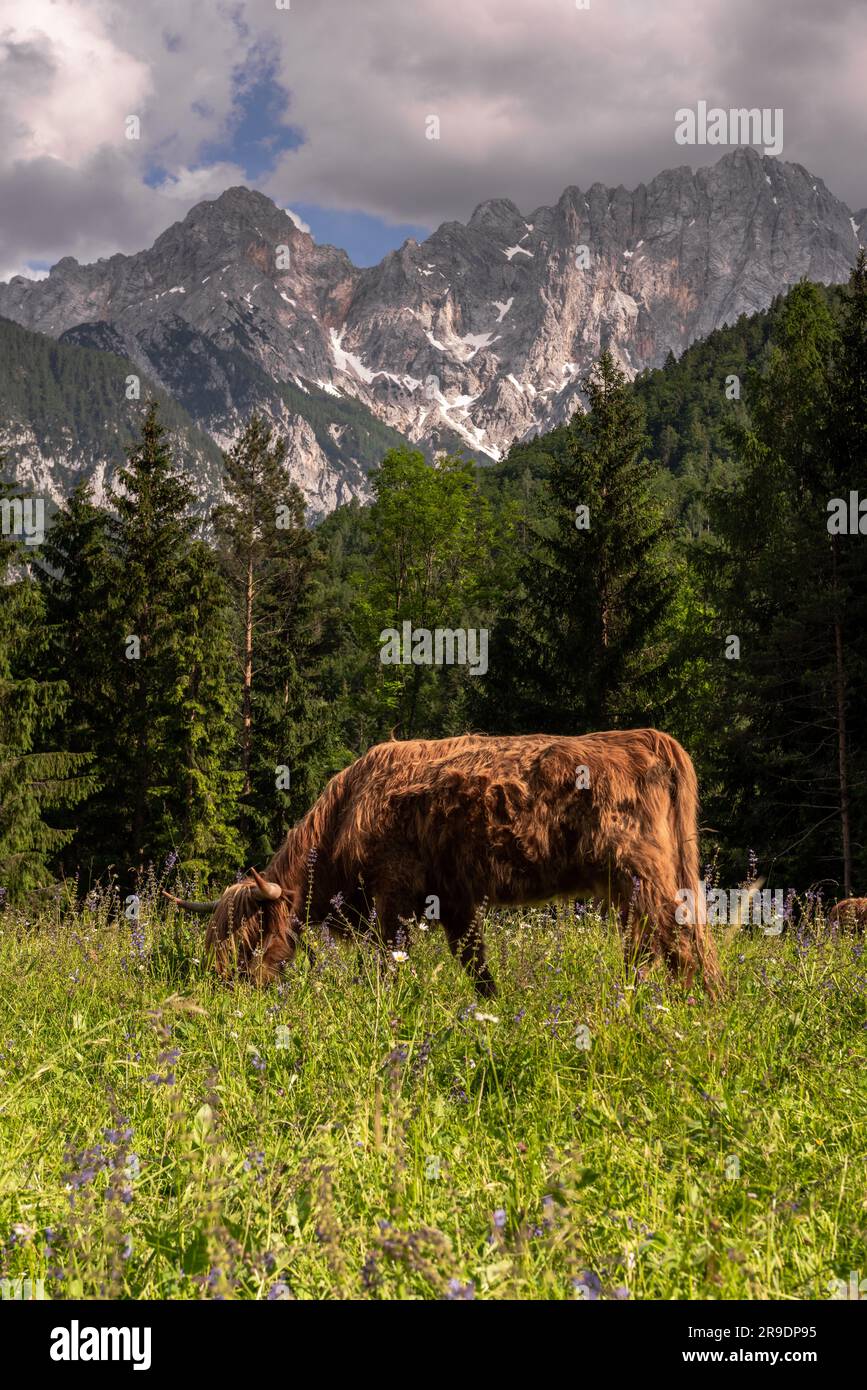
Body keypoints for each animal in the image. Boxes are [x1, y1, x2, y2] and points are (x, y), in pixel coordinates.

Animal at [165, 729, 722, 998]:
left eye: (249, 939)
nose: (227, 990)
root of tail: (649, 739)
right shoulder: (454, 899)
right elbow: (475, 961)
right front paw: (492, 1006)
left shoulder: (394, 890)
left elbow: (390, 959)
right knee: (660, 945)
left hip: (643, 877)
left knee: (676, 942)